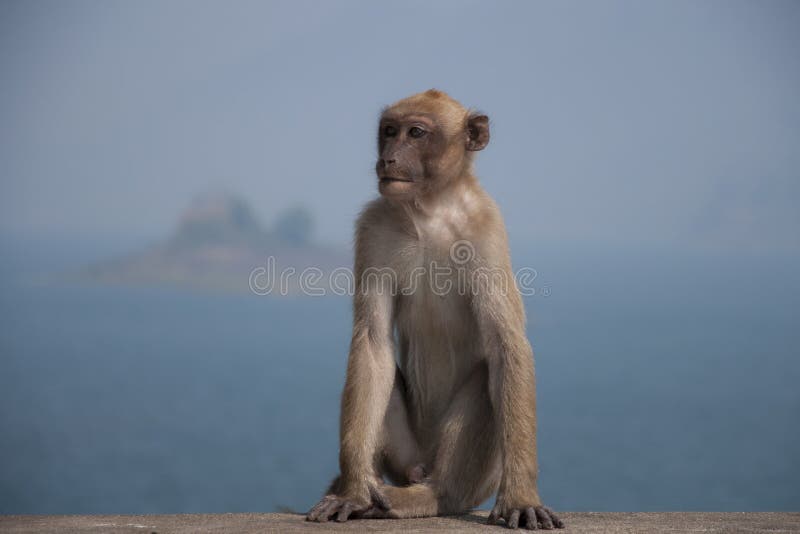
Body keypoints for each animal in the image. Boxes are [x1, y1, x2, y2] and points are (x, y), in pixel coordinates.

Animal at [306, 89, 563, 530]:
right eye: (389, 131)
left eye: (416, 133)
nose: (389, 157)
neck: (431, 211)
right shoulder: (373, 227)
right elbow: (372, 342)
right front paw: (353, 491)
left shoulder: (487, 229)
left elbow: (506, 345)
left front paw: (521, 496)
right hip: (406, 455)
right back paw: (372, 493)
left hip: (478, 478)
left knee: (486, 378)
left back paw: (431, 496)